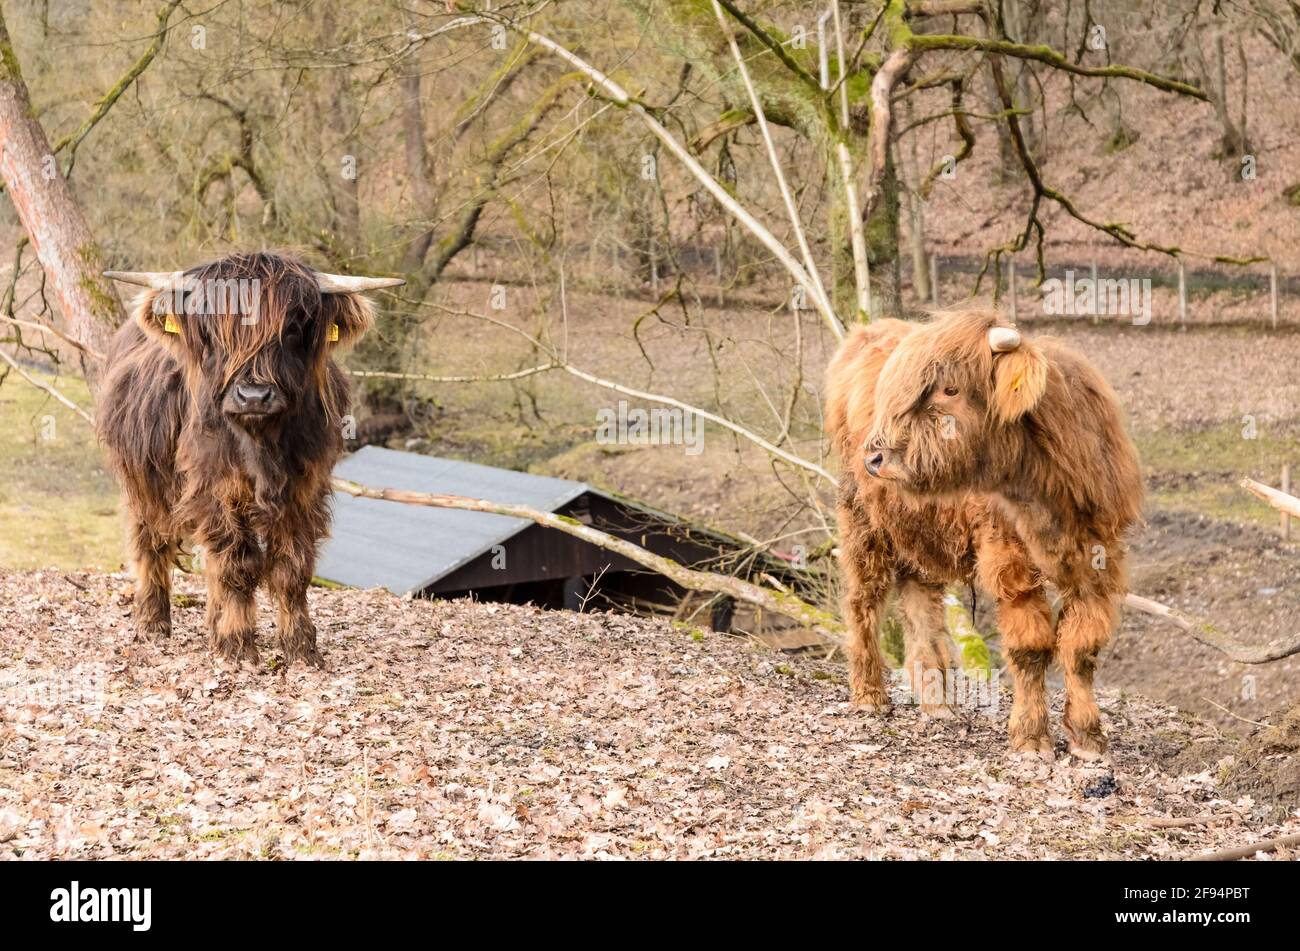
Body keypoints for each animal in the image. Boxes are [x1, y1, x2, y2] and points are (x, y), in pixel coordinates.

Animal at [97, 252, 402, 667]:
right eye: (213, 331)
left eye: (293, 326)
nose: (254, 396)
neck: (261, 443)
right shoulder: (215, 488)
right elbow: (236, 563)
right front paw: (237, 645)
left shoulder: (305, 489)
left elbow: (293, 567)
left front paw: (301, 647)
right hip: (142, 483)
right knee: (151, 544)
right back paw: (153, 625)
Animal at [826, 309, 1142, 760]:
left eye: (950, 389)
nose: (876, 455)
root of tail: (867, 334)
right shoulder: (1008, 558)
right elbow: (1031, 647)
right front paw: (1031, 738)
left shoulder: (1099, 559)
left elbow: (1081, 647)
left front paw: (1088, 737)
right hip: (861, 521)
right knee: (862, 600)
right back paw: (869, 695)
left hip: (920, 531)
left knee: (921, 606)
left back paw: (937, 703)